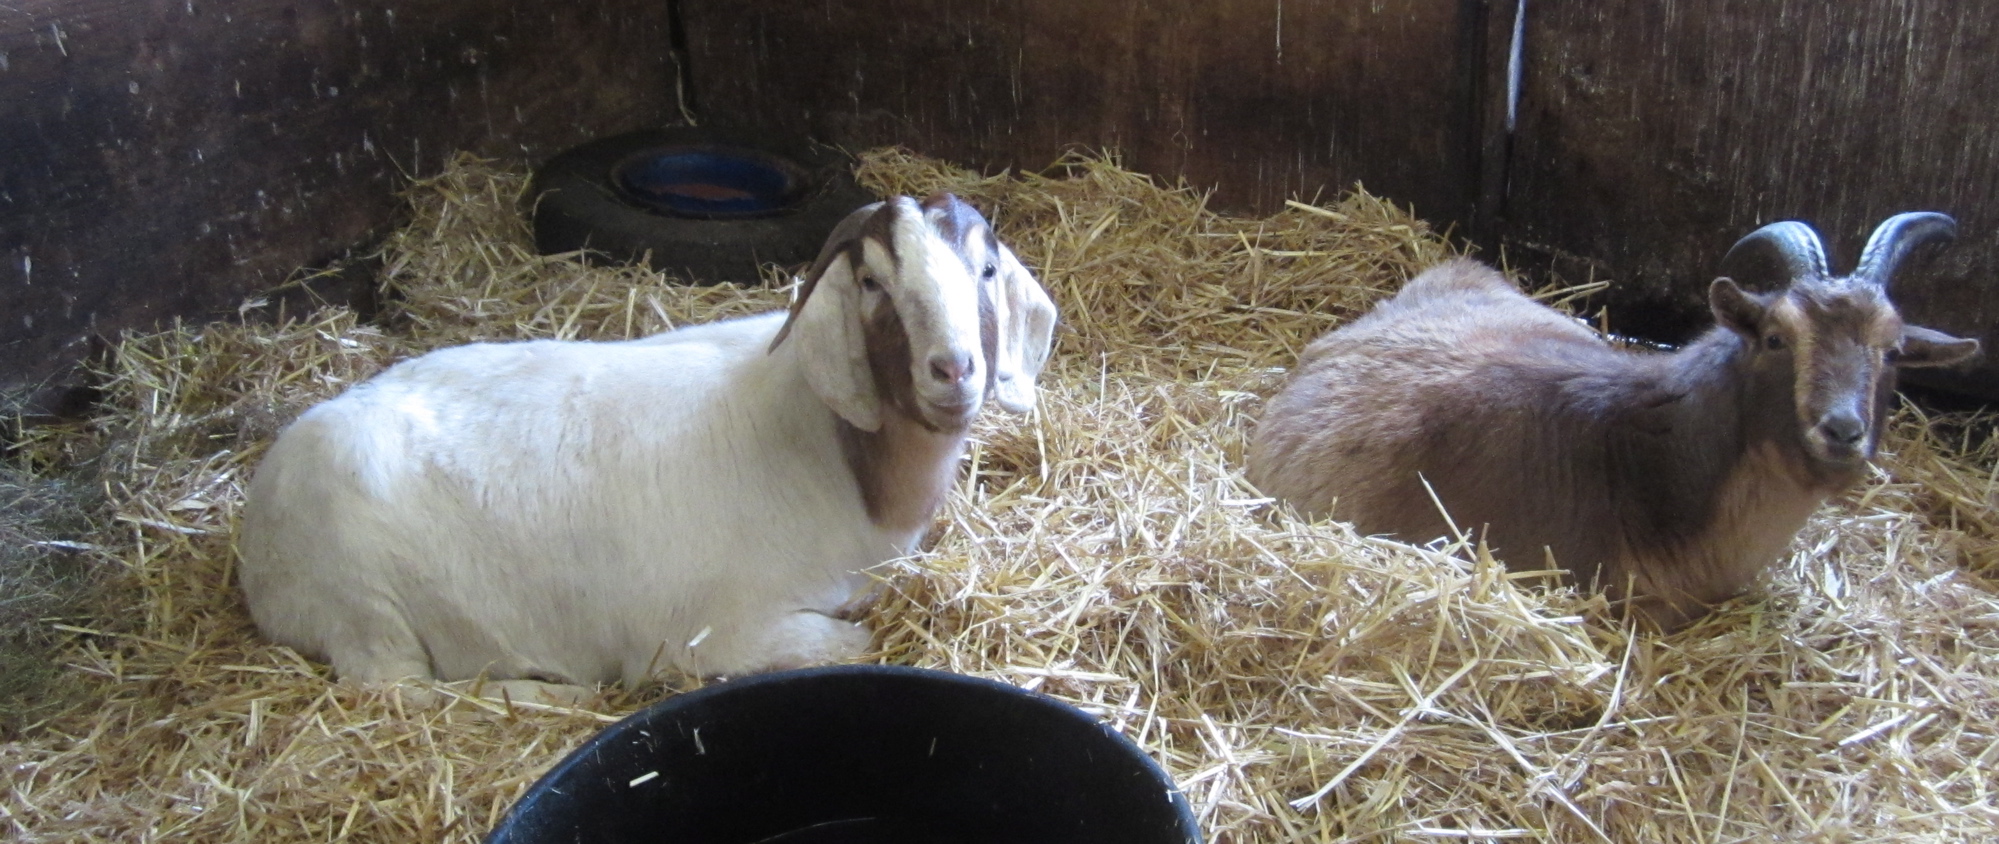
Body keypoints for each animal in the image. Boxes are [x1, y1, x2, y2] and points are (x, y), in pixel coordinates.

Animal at [236, 194, 1058, 700]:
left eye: (987, 271)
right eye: (870, 281)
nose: (953, 369)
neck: (843, 464)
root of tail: (256, 537)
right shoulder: (715, 637)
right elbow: (851, 642)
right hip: (362, 605)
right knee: (396, 687)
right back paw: (546, 696)